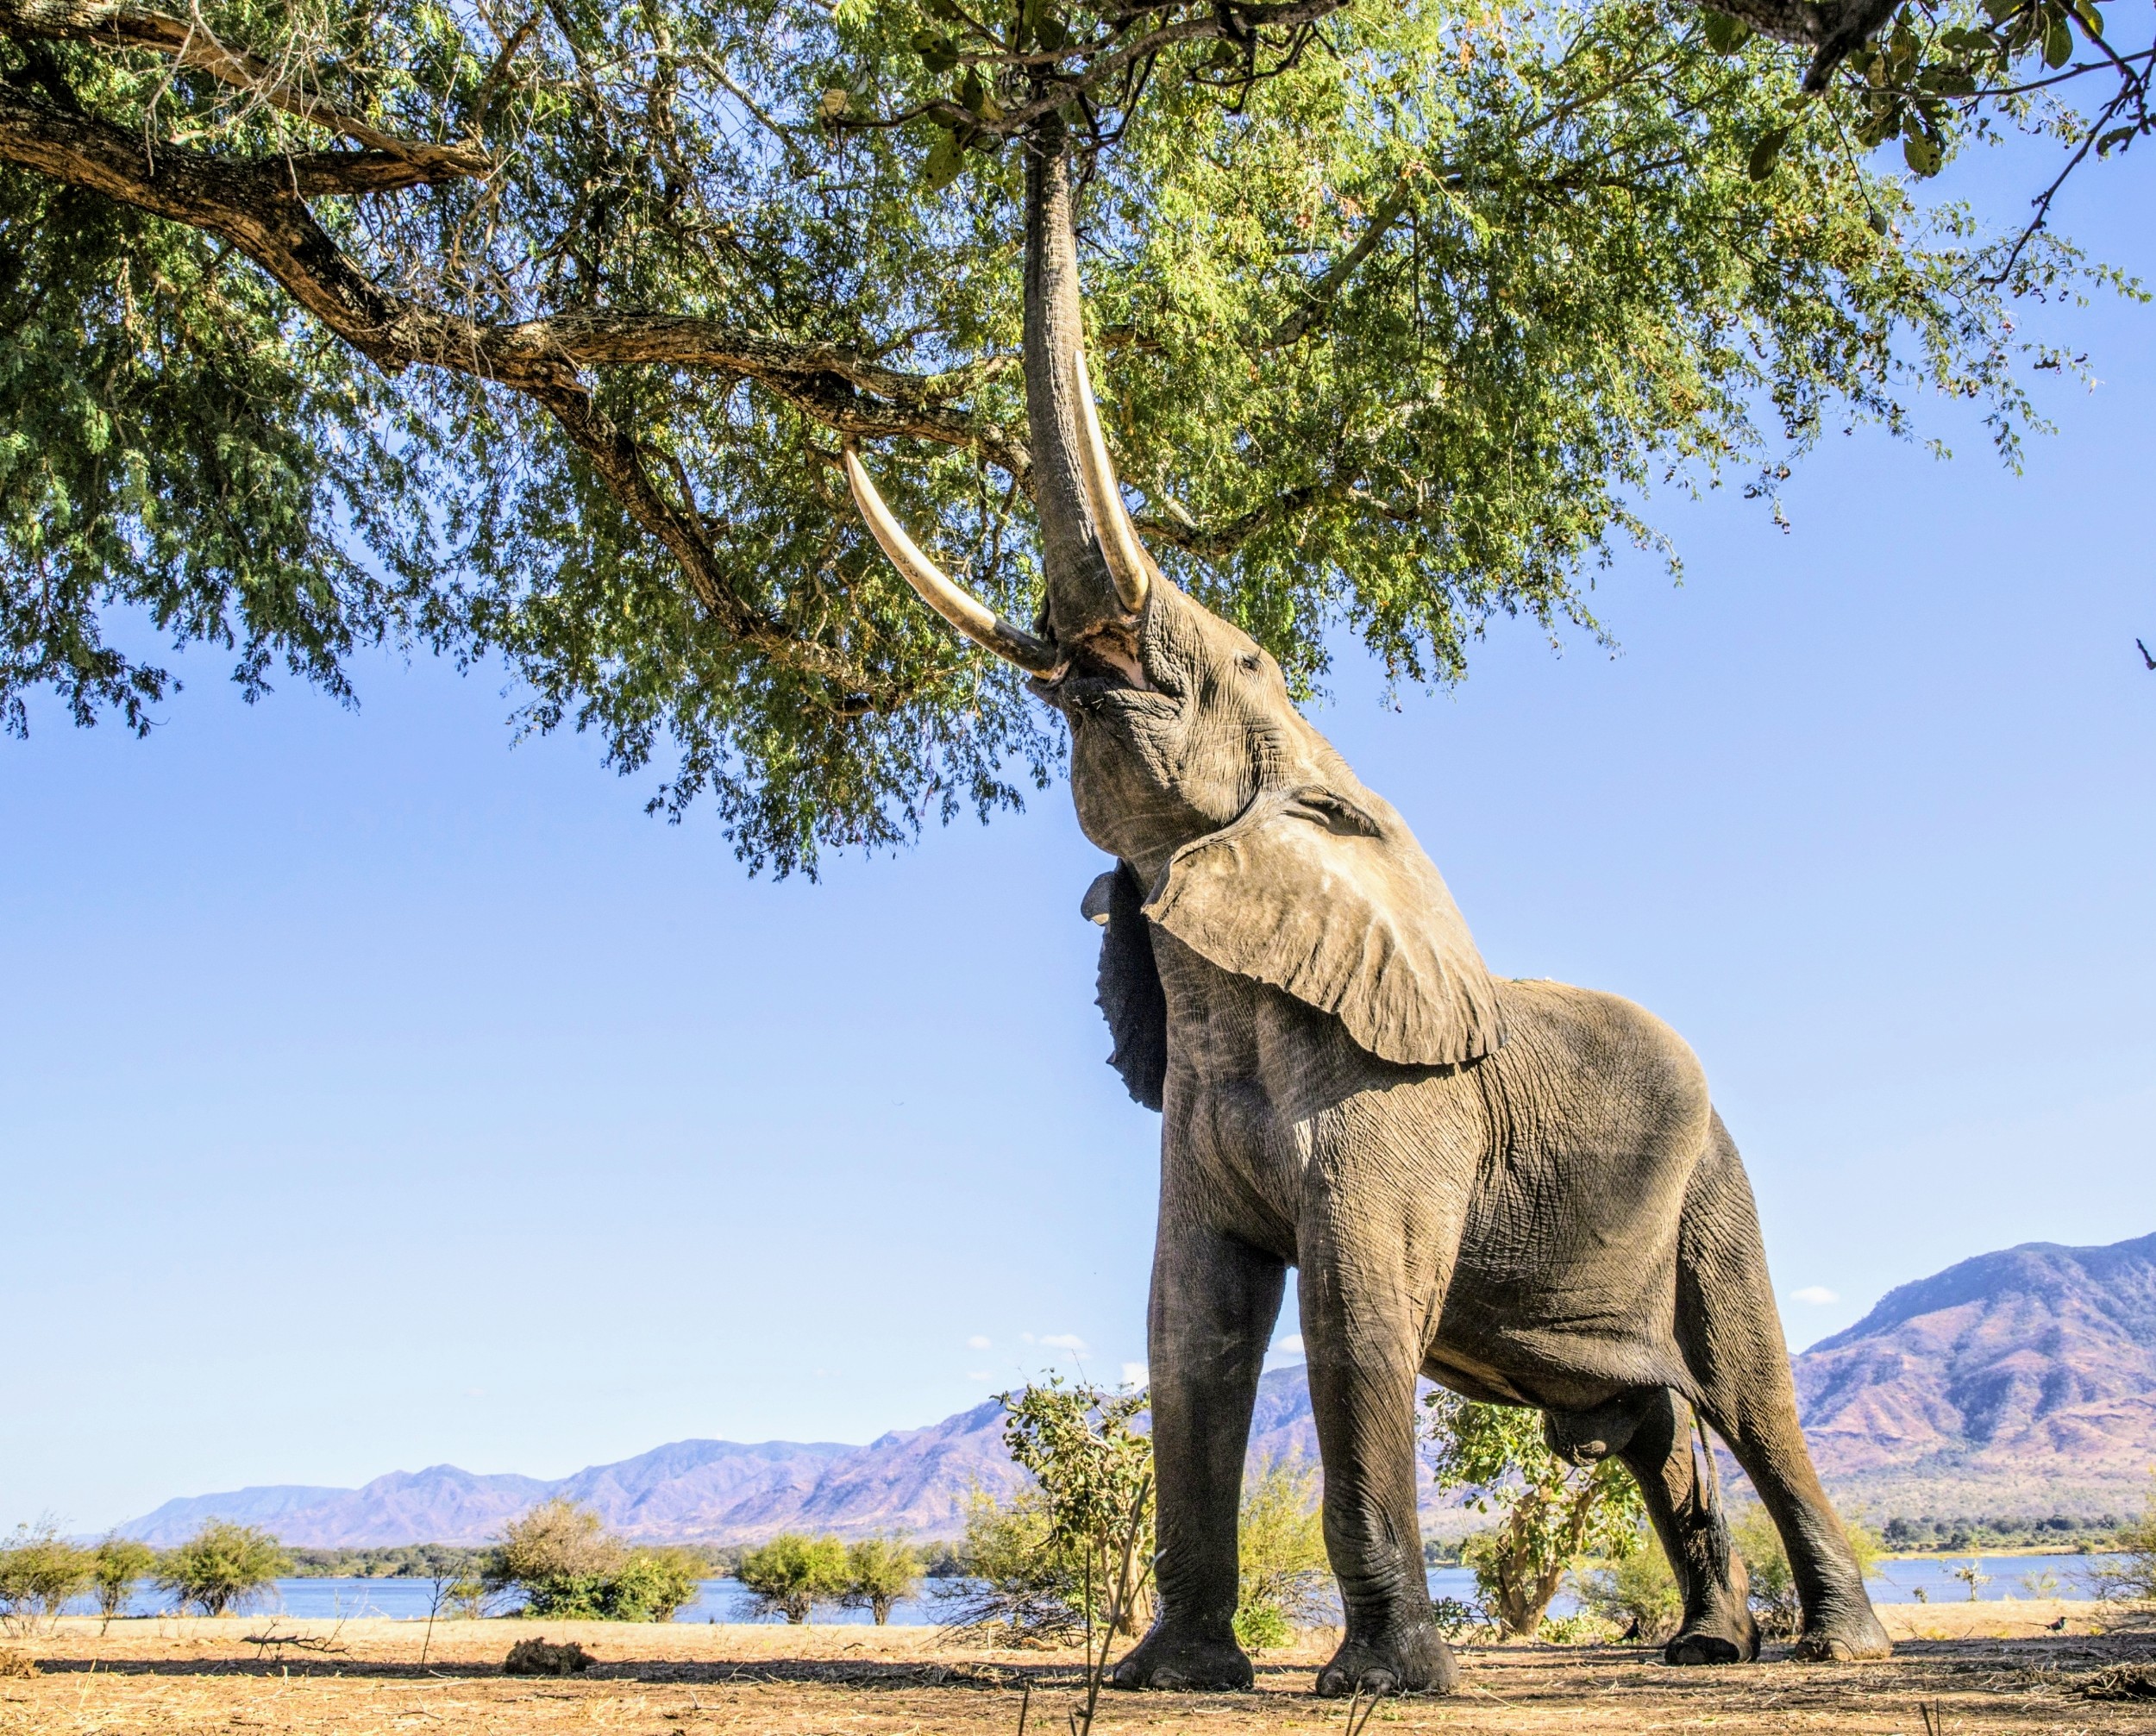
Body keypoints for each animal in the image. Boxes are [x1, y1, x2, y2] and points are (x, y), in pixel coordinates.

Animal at [836, 126, 1891, 1696]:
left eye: (1248, 662)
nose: (1046, 111)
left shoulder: (1399, 1100)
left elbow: (1352, 1314)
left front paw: (1380, 1686)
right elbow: (1192, 1322)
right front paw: (1175, 1678)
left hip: (1719, 1192)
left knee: (1754, 1395)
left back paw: (1837, 1649)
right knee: (1656, 1426)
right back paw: (1705, 1649)